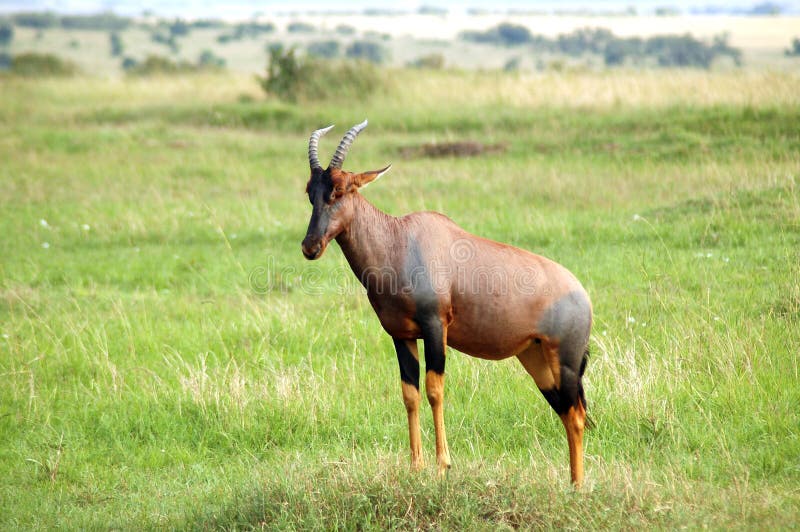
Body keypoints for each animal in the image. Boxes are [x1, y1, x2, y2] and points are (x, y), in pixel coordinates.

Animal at [301, 120, 592, 487]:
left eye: (340, 190)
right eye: (310, 191)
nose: (310, 246)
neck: (401, 241)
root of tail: (582, 295)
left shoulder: (435, 327)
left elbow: (434, 390)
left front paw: (442, 466)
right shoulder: (401, 335)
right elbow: (409, 394)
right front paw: (415, 466)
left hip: (565, 360)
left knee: (577, 414)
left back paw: (578, 487)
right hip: (535, 358)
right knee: (566, 411)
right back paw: (572, 483)